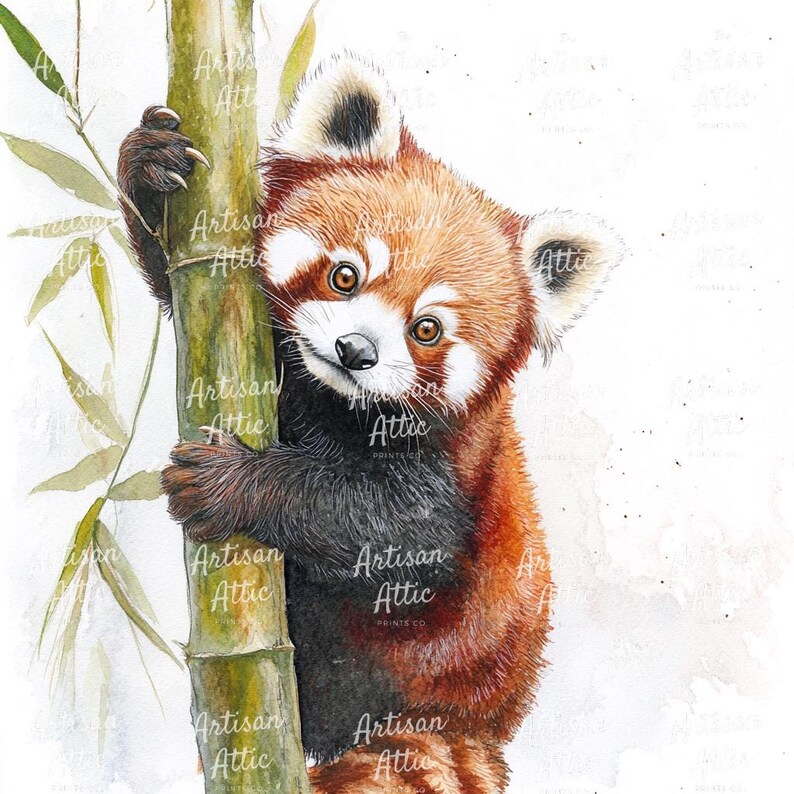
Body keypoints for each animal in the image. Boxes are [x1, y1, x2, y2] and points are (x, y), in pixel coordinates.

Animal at [118, 55, 622, 793]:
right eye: (345, 275)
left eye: (427, 328)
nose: (355, 350)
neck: (326, 396)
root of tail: (478, 724)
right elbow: (179, 269)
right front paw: (149, 167)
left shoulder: (450, 465)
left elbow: (400, 532)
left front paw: (230, 482)